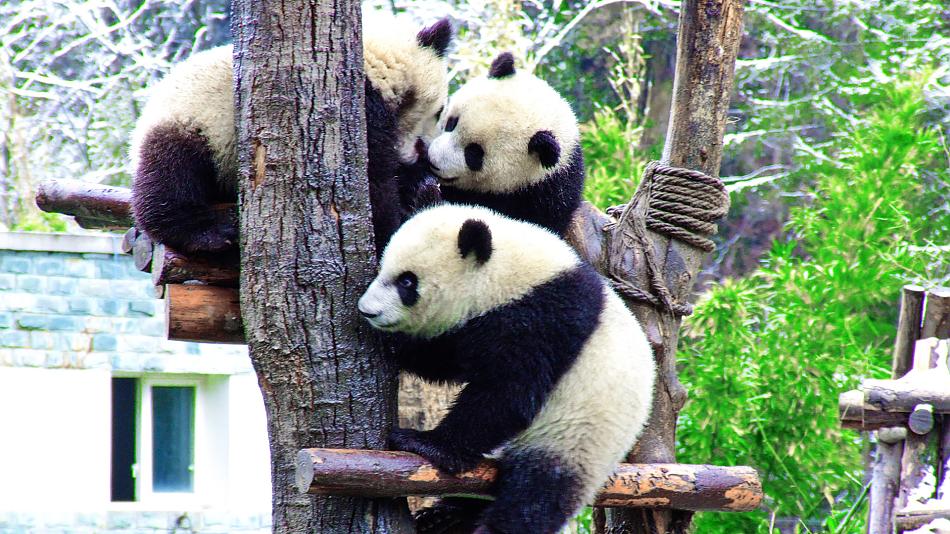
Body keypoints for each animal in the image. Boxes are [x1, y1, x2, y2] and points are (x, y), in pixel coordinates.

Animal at [129, 15, 452, 255]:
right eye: (438, 112)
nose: (424, 153)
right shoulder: (355, 108)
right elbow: (373, 181)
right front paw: (396, 221)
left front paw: (420, 187)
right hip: (194, 123)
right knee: (170, 173)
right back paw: (209, 232)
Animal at [357, 204, 654, 534]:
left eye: (407, 282)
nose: (367, 311)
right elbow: (446, 361)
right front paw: (396, 345)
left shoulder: (543, 318)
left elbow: (506, 394)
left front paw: (425, 444)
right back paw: (443, 519)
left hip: (577, 436)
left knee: (533, 500)